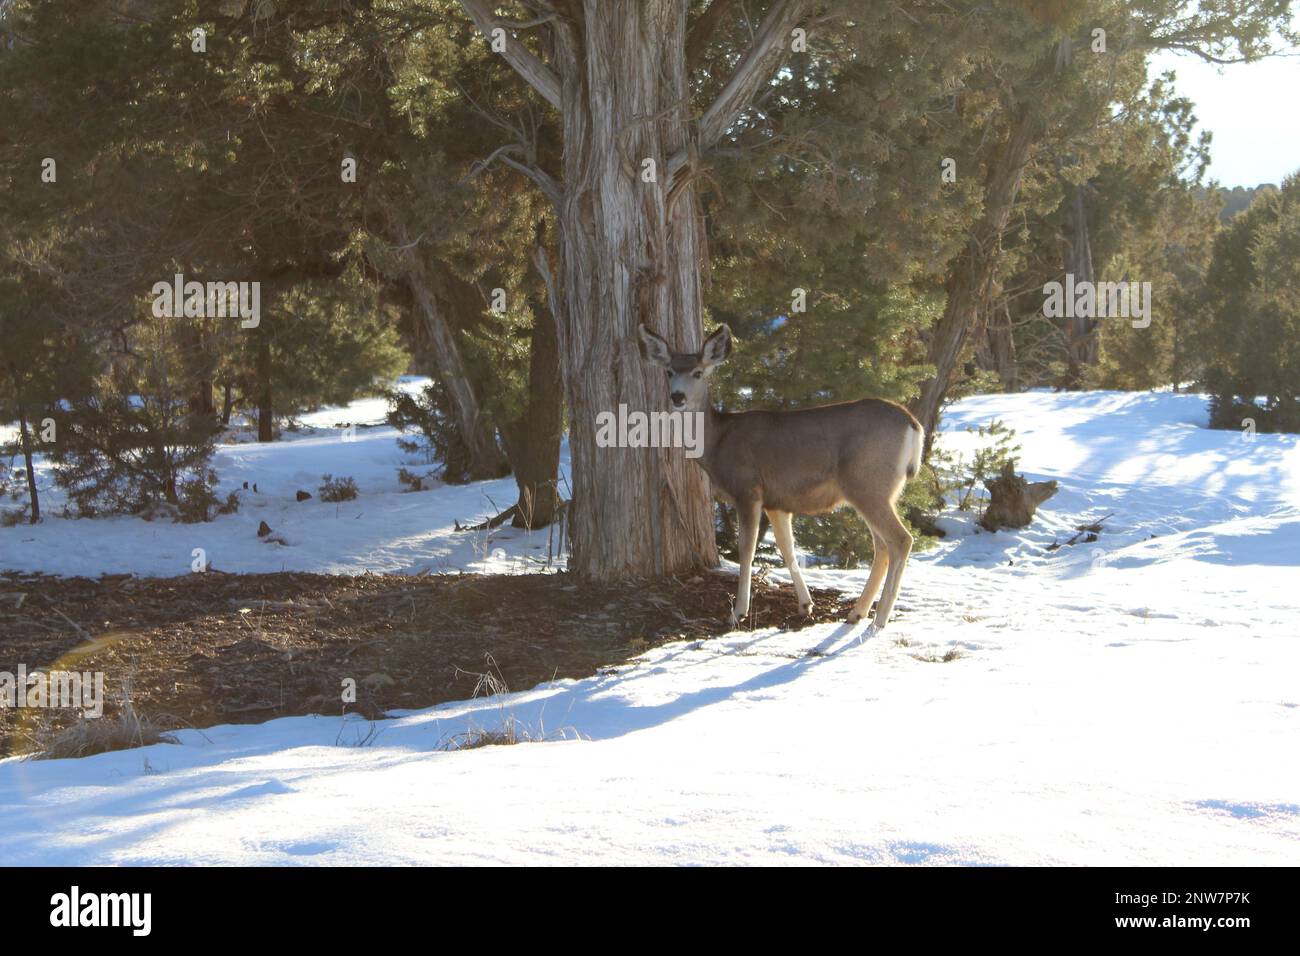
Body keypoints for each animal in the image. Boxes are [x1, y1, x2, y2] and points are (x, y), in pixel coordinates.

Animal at [638, 323, 924, 634]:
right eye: (669, 371)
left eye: (698, 372)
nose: (677, 397)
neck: (717, 442)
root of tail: (913, 424)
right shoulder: (777, 501)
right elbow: (788, 549)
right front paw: (806, 604)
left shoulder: (748, 489)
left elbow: (746, 550)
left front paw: (737, 613)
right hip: (870, 489)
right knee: (881, 546)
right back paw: (856, 613)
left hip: (868, 483)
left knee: (900, 540)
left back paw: (879, 620)